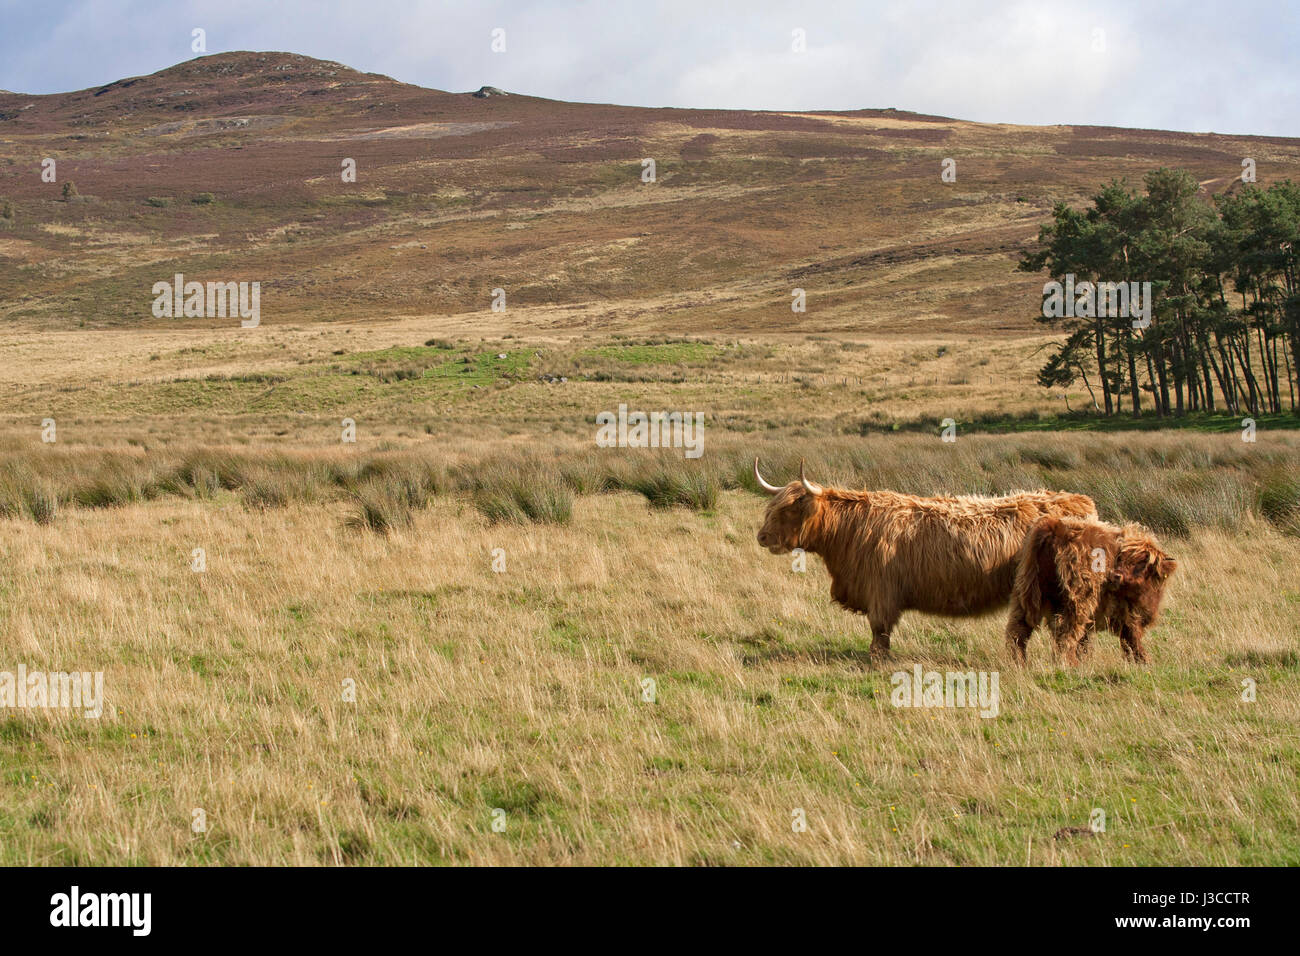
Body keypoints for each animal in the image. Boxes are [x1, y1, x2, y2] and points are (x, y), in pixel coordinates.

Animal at [753, 459, 1097, 657]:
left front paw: (876, 660)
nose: (762, 537)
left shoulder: (881, 592)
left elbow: (879, 630)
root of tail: (1078, 500)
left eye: (790, 509)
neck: (848, 531)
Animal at [1006, 516, 1177, 666]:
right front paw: (1144, 660)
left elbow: (1087, 641)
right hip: (1076, 601)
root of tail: (1054, 525)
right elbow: (1132, 638)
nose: (1115, 576)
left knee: (1018, 629)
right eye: (1122, 559)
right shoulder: (1129, 613)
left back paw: (1019, 663)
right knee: (1065, 631)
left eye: (1142, 564)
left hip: (1027, 590)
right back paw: (1069, 664)